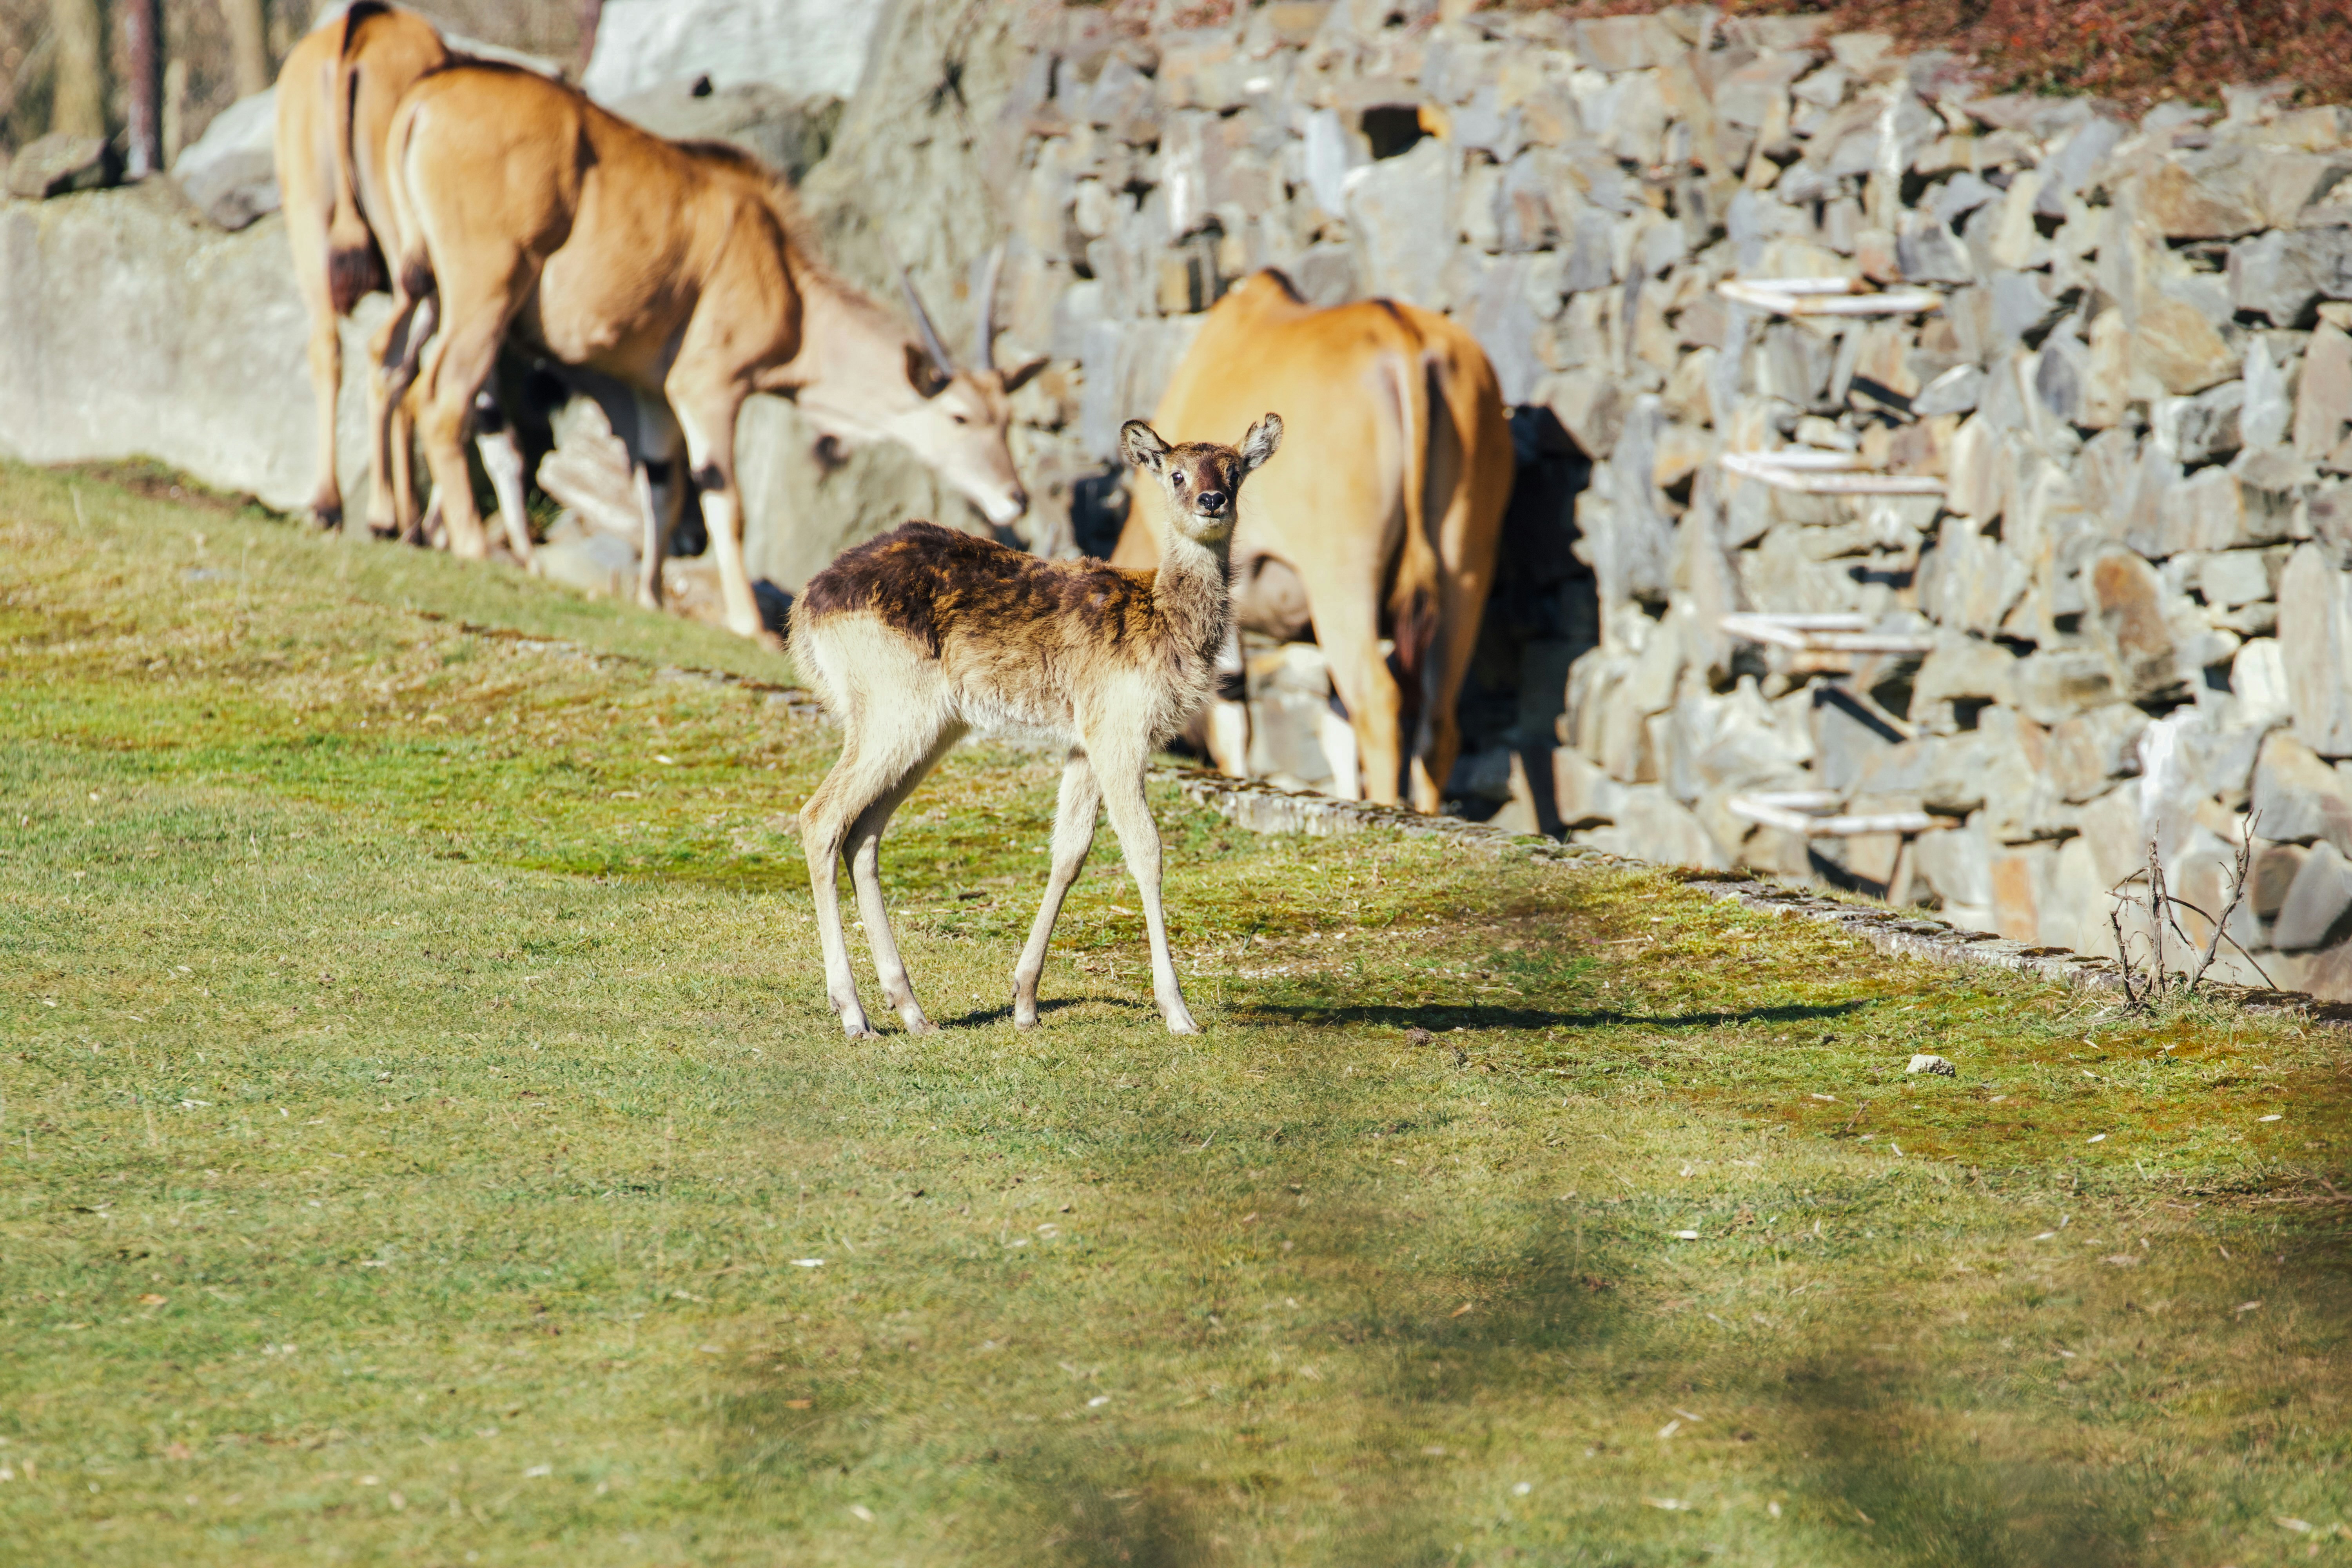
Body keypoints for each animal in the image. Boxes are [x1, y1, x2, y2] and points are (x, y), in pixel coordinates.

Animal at [374, 61, 1031, 640]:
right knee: (442, 399)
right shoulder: (708, 387)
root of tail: (426, 100)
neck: (787, 283)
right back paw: (470, 544)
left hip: (424, 287)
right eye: (961, 417)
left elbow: (659, 490)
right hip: (484, 294)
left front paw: (652, 598)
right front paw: (748, 625)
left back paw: (399, 525)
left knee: (391, 369)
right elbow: (725, 501)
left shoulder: (653, 394)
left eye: (1007, 419)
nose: (1015, 498)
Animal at [791, 414, 1283, 1040]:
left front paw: (1025, 1001)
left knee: (864, 834)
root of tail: (803, 610)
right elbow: (1146, 849)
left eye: (1236, 470)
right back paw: (853, 1012)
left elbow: (1069, 852)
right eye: (1176, 473)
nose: (1212, 499)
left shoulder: (1085, 740)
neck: (1166, 629)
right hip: (893, 707)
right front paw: (1178, 1012)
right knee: (821, 817)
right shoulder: (1120, 727)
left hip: (929, 726)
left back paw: (912, 1009)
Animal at [1110, 270, 1514, 813]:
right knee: (1437, 724)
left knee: (1379, 703)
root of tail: (1402, 335)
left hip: (1341, 586)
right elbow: (1334, 731)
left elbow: (1232, 714)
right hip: (1461, 580)